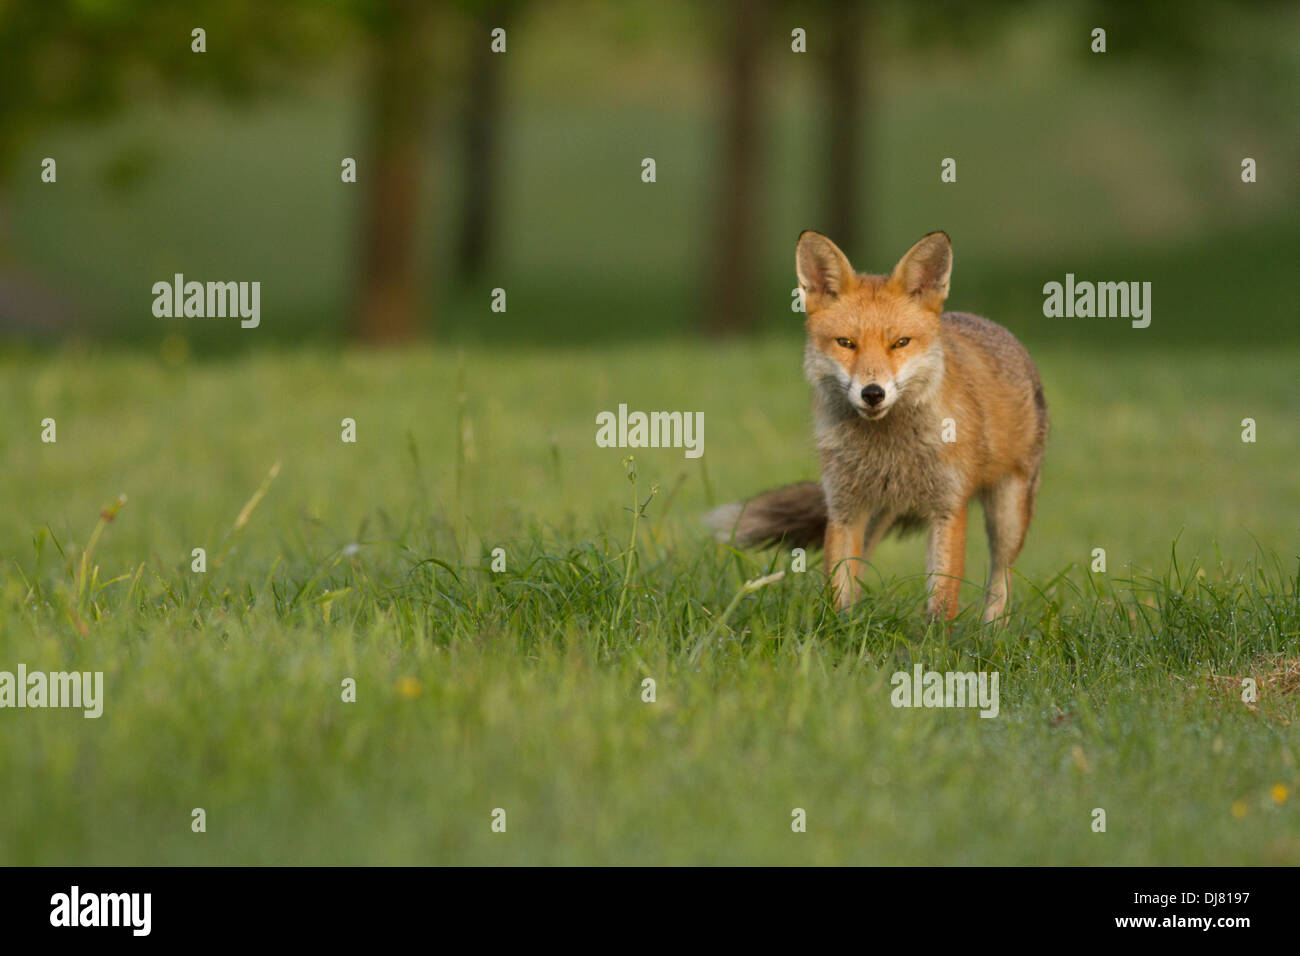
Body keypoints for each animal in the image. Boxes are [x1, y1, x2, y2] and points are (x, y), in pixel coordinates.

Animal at [709, 230, 1048, 622]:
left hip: (1008, 515)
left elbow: (943, 599)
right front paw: (839, 629)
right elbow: (839, 587)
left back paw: (992, 628)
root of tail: (995, 327)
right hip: (874, 517)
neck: (888, 447)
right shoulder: (843, 507)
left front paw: (935, 639)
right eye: (846, 343)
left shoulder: (948, 506)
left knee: (1001, 577)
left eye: (900, 343)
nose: (873, 393)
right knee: (861, 567)